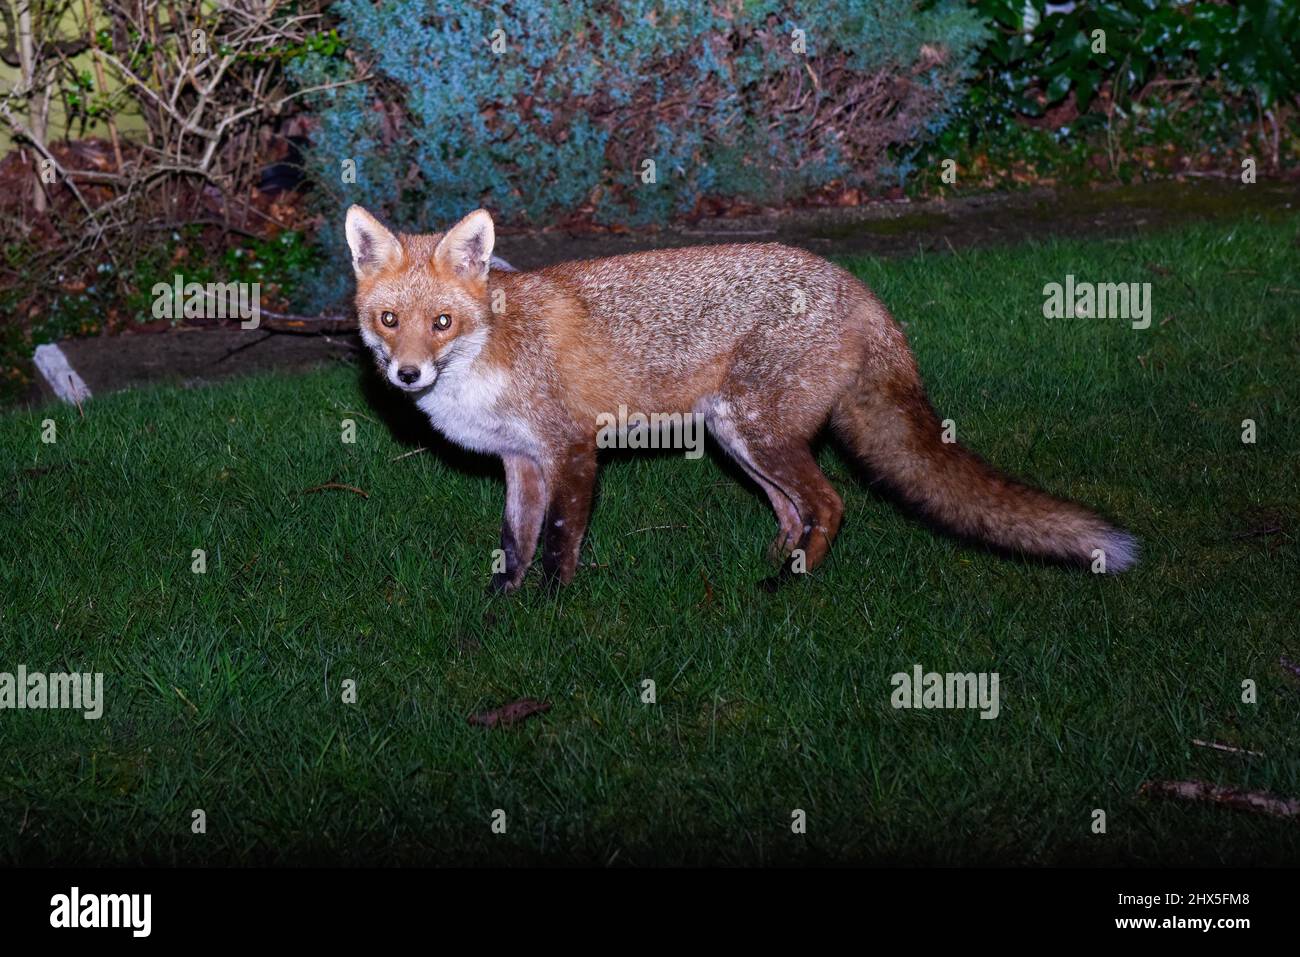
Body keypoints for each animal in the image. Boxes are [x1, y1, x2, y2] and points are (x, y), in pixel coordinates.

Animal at [345, 205, 1137, 593]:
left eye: (442, 323)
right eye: (388, 320)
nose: (407, 376)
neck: (493, 351)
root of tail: (861, 291)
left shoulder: (571, 451)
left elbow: (561, 546)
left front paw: (553, 613)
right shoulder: (520, 463)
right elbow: (516, 544)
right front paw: (502, 611)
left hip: (758, 431)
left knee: (831, 504)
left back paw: (791, 587)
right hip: (737, 436)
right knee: (791, 510)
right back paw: (768, 567)